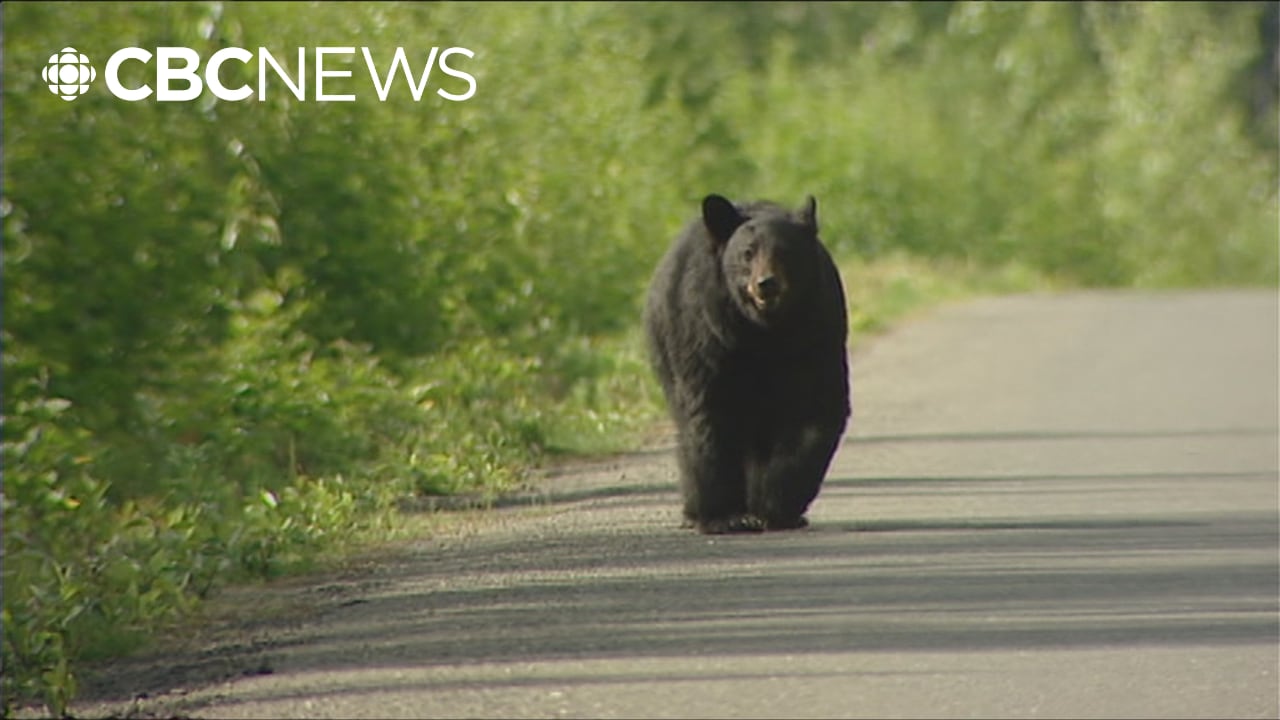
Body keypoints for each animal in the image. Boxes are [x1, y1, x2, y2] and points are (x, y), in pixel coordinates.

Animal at [643, 193, 851, 534]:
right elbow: (708, 413)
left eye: (786, 251)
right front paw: (724, 516)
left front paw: (775, 508)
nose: (766, 283)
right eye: (747, 253)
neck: (761, 332)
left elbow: (815, 409)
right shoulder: (707, 335)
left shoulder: (815, 333)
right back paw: (694, 512)